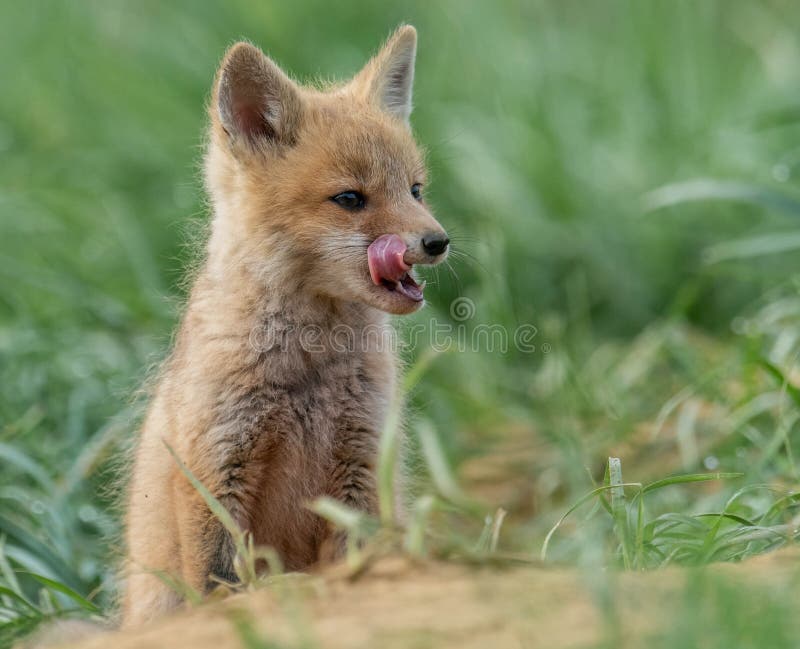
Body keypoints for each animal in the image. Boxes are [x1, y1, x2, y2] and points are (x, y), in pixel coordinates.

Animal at [121, 25, 449, 627]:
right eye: (350, 199)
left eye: (415, 190)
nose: (438, 242)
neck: (307, 373)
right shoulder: (215, 461)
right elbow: (217, 583)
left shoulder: (361, 462)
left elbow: (357, 561)